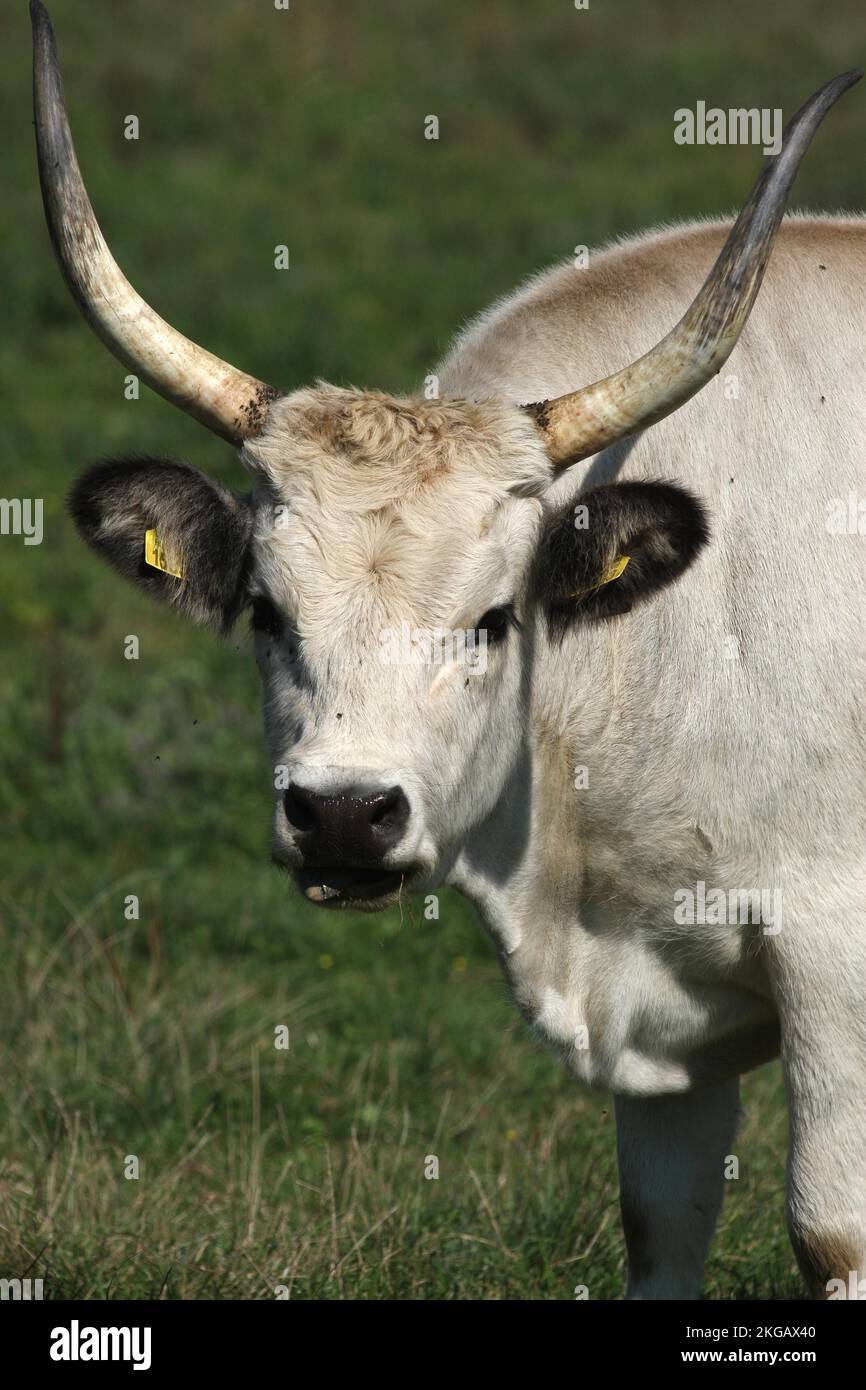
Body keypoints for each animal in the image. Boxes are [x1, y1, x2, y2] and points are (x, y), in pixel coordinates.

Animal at [30, 0, 866, 1299]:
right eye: (265, 612)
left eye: (489, 619)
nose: (339, 814)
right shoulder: (664, 1014)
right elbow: (658, 1223)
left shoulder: (835, 957)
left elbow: (828, 1227)